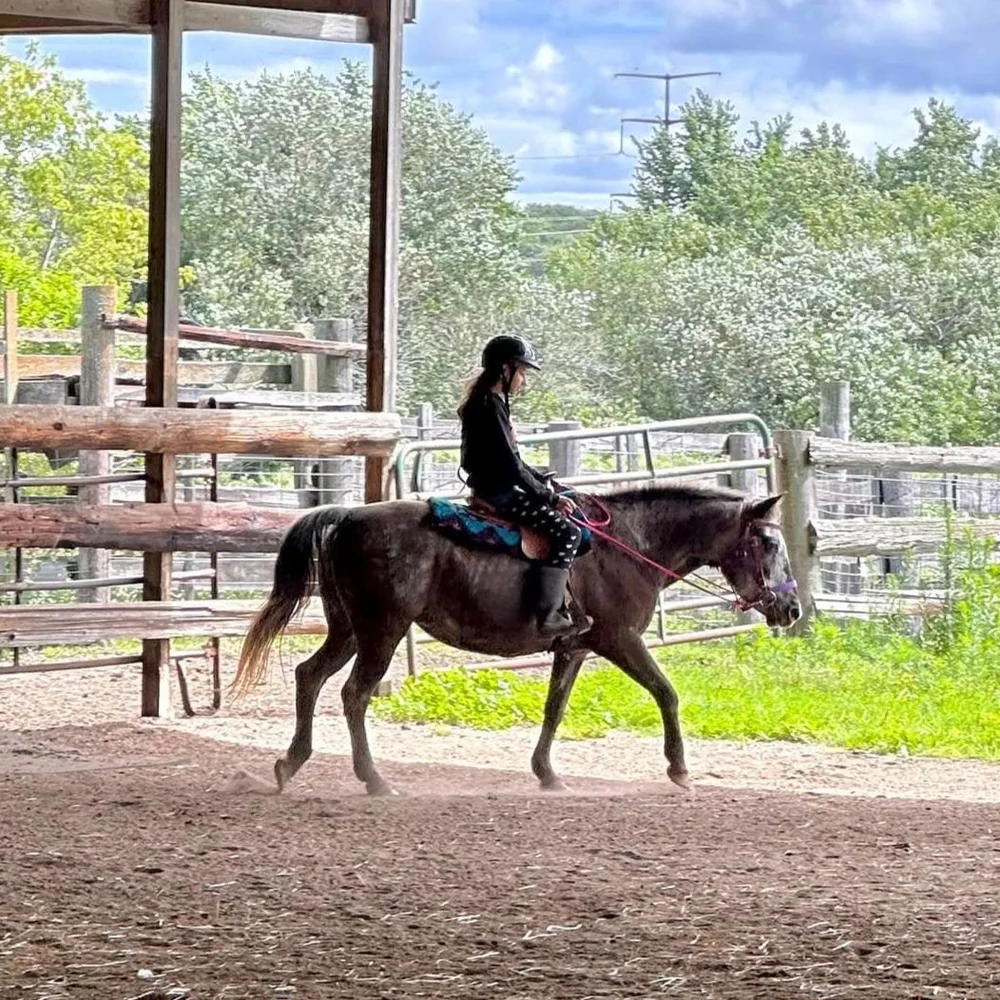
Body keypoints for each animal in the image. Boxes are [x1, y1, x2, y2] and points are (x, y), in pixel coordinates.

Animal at [230, 482, 801, 796]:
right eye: (768, 542)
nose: (791, 609)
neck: (628, 546)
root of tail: (349, 514)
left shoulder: (574, 647)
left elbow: (555, 709)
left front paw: (546, 773)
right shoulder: (620, 640)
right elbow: (667, 692)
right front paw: (679, 770)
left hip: (348, 627)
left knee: (310, 676)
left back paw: (288, 764)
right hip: (381, 629)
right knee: (354, 693)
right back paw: (374, 779)